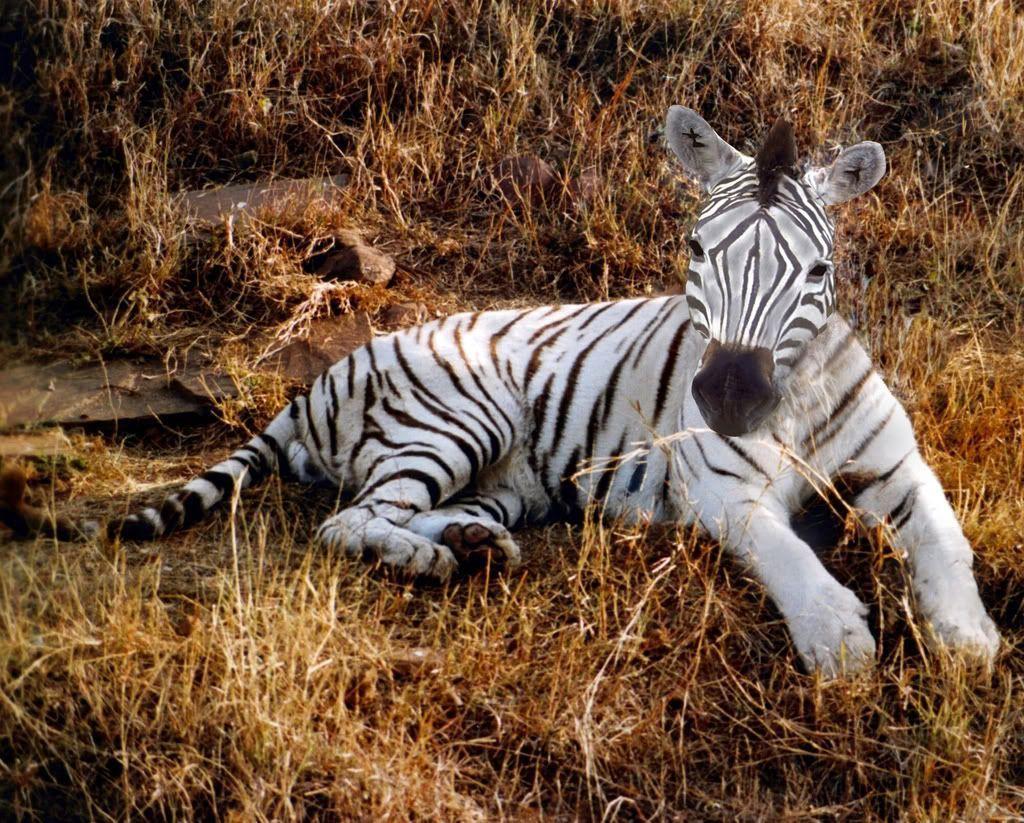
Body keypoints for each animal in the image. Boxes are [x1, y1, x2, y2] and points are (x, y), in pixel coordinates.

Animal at [107, 107, 1000, 677]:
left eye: (816, 270)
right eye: (695, 248)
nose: (731, 395)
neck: (798, 390)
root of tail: (322, 376)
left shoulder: (900, 466)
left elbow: (945, 540)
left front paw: (971, 640)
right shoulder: (721, 492)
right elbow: (787, 553)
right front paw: (839, 640)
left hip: (510, 480)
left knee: (405, 508)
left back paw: (473, 543)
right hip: (459, 419)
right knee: (348, 520)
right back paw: (431, 559)